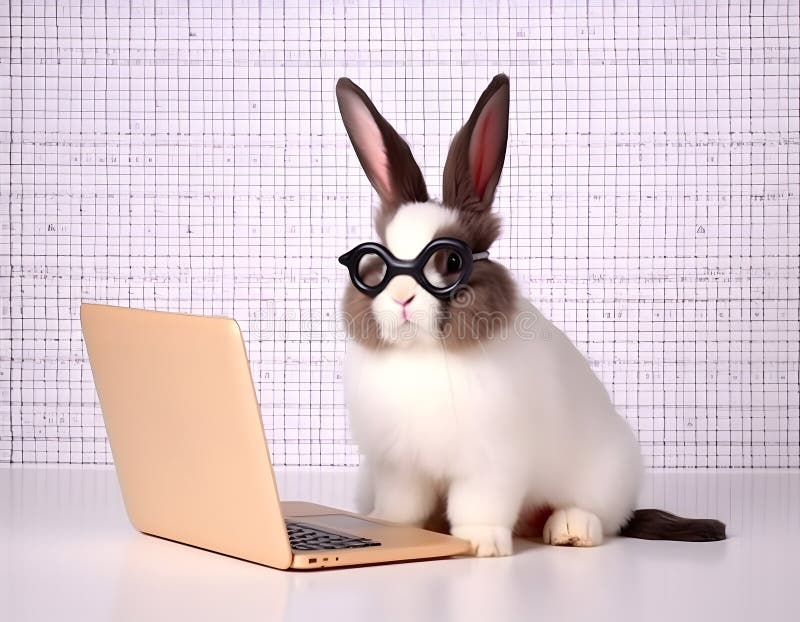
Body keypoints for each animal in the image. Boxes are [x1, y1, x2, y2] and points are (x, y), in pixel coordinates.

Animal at [335, 74, 725, 556]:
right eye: (375, 263)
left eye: (450, 262)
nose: (403, 299)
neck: (423, 354)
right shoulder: (399, 467)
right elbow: (402, 505)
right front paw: (388, 527)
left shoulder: (491, 463)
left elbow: (479, 505)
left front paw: (481, 544)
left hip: (605, 473)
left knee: (598, 517)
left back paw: (571, 529)